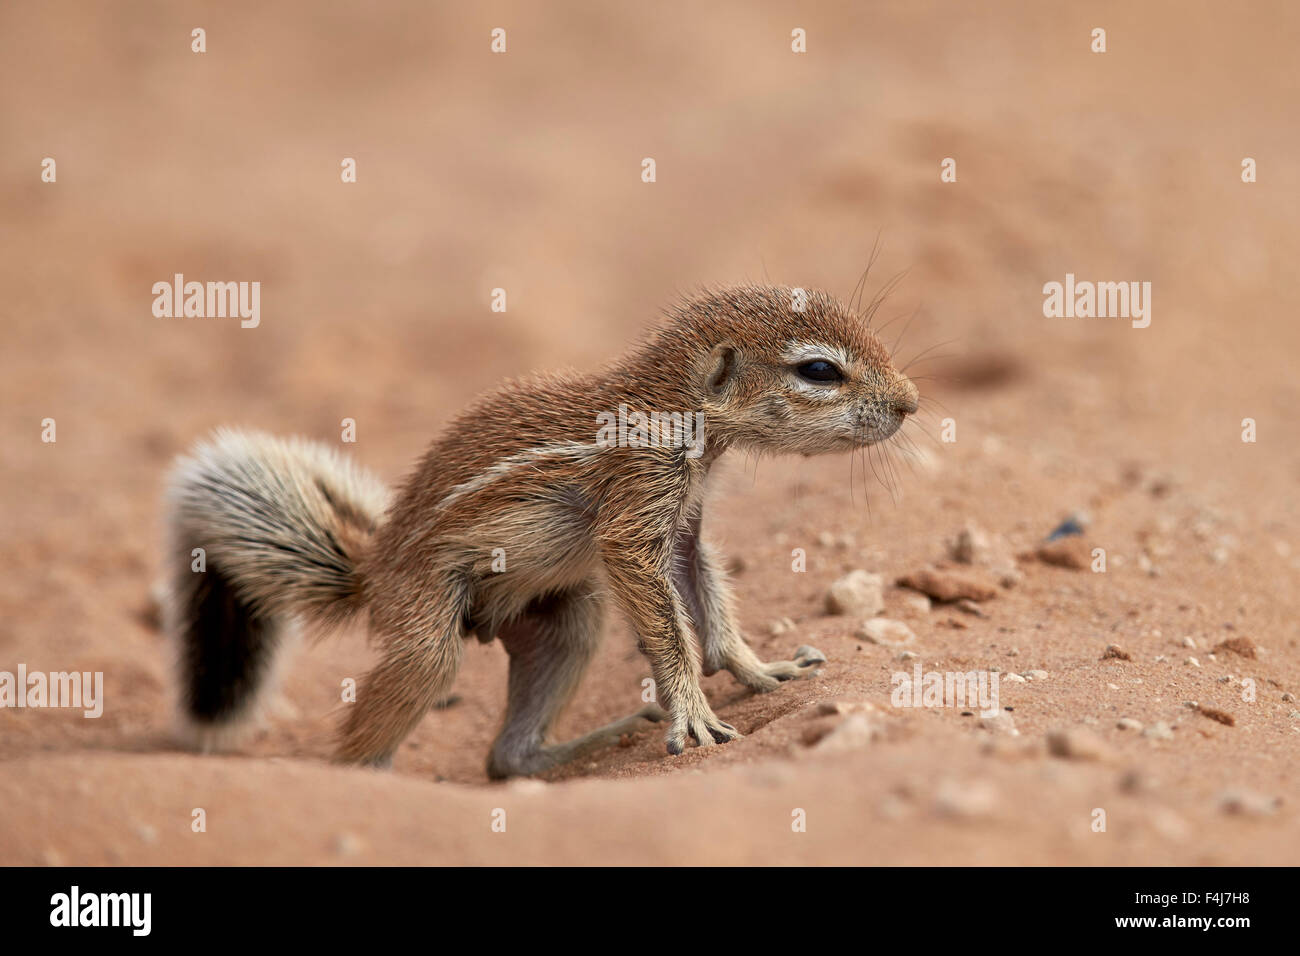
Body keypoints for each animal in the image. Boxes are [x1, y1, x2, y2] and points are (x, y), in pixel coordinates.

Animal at [161, 285, 920, 778]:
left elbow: (707, 599)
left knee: (506, 758)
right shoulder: (635, 507)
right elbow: (668, 625)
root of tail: (372, 573)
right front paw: (691, 712)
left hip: (567, 620)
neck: (670, 408)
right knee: (393, 713)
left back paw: (589, 742)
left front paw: (761, 670)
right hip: (426, 630)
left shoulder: (682, 526)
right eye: (818, 370)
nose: (911, 402)